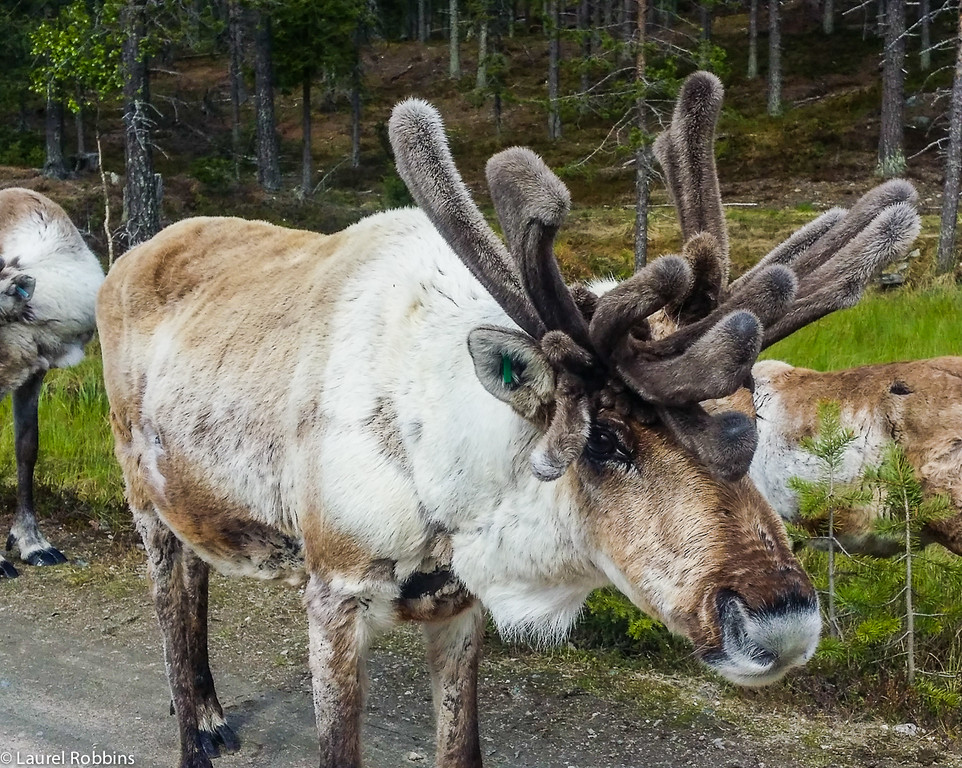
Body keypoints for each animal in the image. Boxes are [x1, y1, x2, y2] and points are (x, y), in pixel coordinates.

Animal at [95, 72, 921, 768]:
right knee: (172, 608)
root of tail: (128, 259)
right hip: (142, 496)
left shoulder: (461, 607)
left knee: (197, 579)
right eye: (605, 437)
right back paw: (195, 730)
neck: (448, 483)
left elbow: (462, 748)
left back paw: (210, 710)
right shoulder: (333, 593)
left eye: (750, 420)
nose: (783, 621)